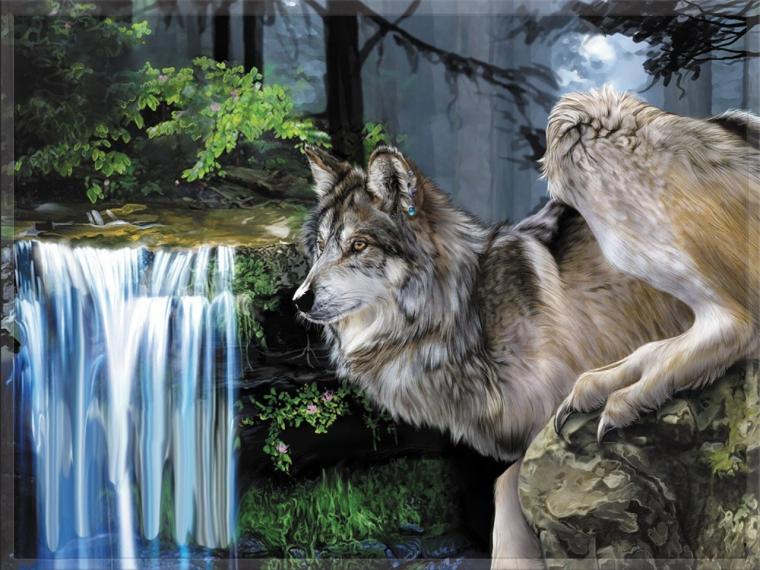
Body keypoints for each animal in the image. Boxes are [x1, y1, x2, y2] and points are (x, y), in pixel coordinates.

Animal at [293, 87, 760, 565]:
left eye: (358, 245)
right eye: (320, 247)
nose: (299, 299)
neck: (466, 309)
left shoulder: (535, 428)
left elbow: (507, 493)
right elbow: (505, 503)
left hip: (579, 122)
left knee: (740, 322)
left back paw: (615, 386)